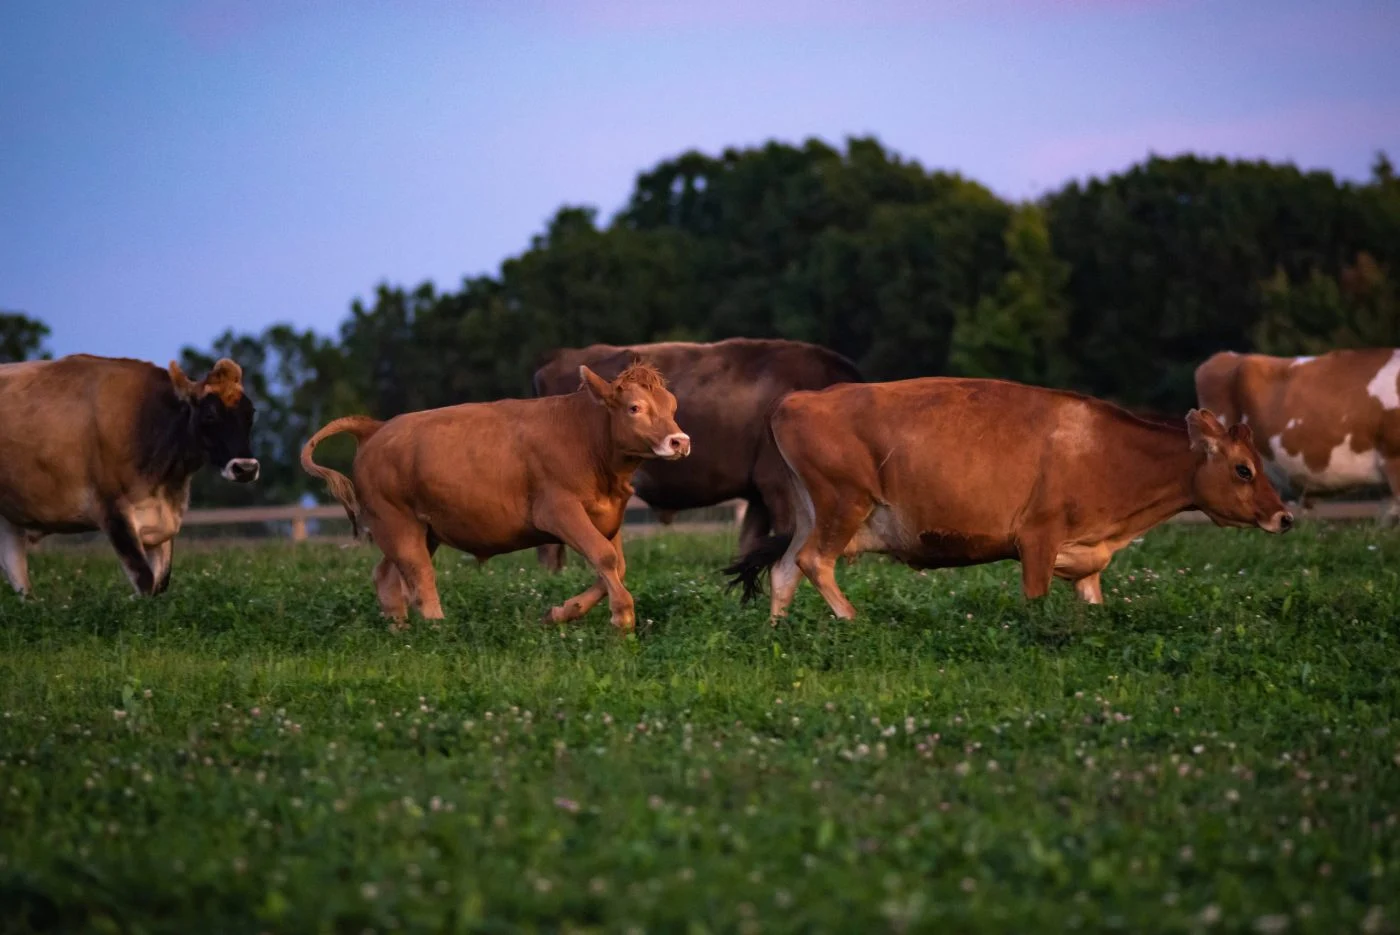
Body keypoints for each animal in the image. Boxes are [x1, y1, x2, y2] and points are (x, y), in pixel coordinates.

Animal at [0, 354, 259, 597]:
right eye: (209, 415)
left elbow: (160, 583)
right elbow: (145, 580)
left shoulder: (162, 522)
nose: (246, 468)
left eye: (250, 413)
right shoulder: (113, 512)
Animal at [300, 362, 689, 631]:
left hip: (422, 531)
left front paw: (559, 613)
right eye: (635, 407)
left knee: (386, 576)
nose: (680, 441)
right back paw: (437, 629)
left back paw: (401, 631)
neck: (586, 436)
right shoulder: (560, 511)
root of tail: (375, 428)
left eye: (672, 407)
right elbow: (605, 559)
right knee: (420, 577)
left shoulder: (607, 516)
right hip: (397, 524)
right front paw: (623, 617)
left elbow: (614, 565)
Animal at [724, 377, 1291, 621]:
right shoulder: (1038, 539)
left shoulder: (1087, 561)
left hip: (811, 510)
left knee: (785, 570)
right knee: (813, 561)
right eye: (1243, 469)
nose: (1284, 517)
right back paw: (851, 620)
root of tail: (799, 399)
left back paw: (779, 633)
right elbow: (1035, 604)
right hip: (845, 503)